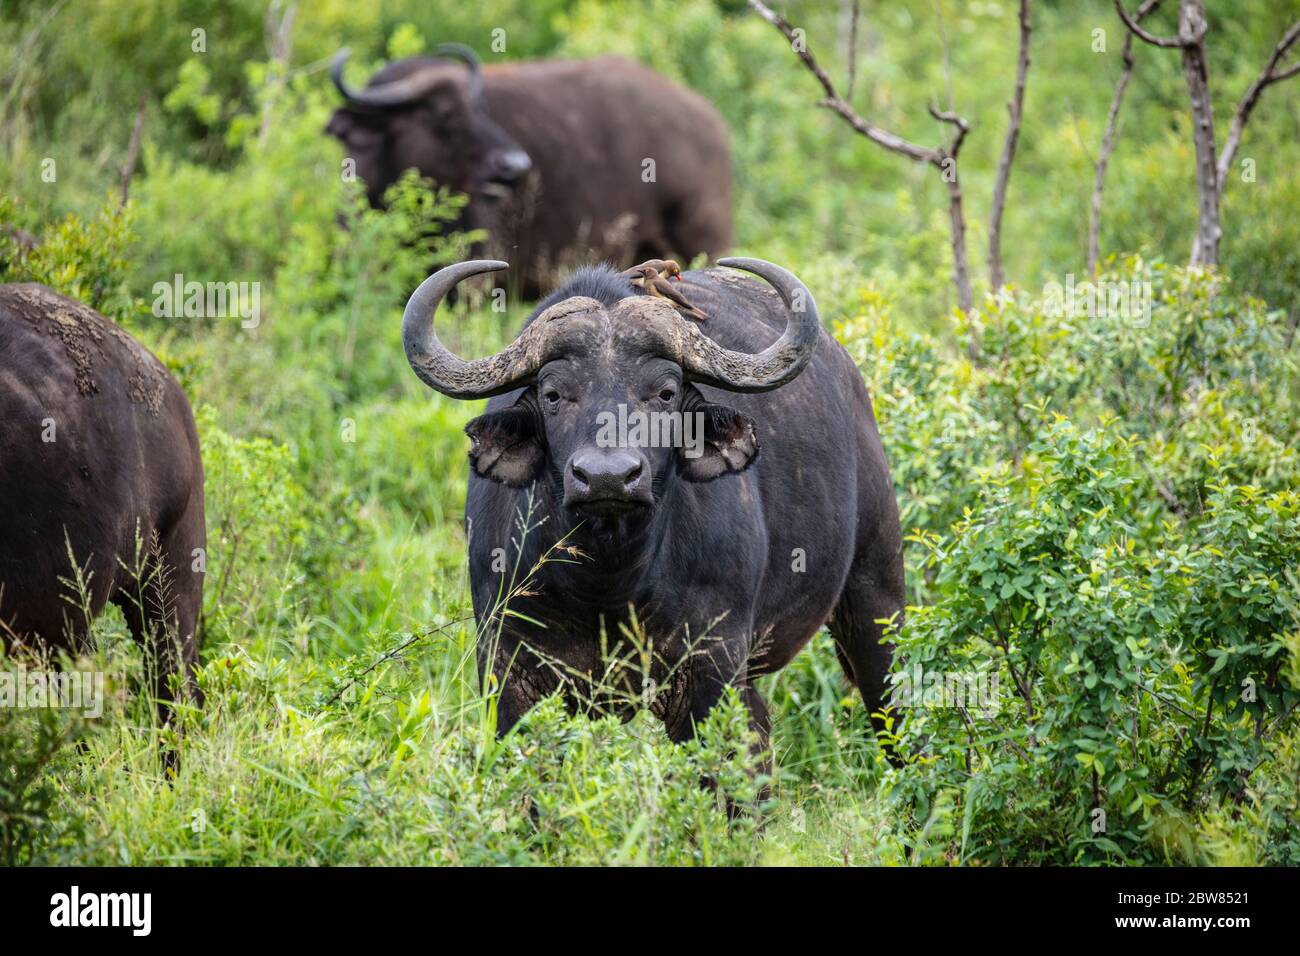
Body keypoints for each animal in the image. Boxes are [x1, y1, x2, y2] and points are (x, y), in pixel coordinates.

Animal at [399, 258, 905, 766]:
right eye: (553, 394)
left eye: (664, 393)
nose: (606, 477)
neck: (607, 584)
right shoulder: (508, 671)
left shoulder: (711, 670)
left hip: (877, 597)